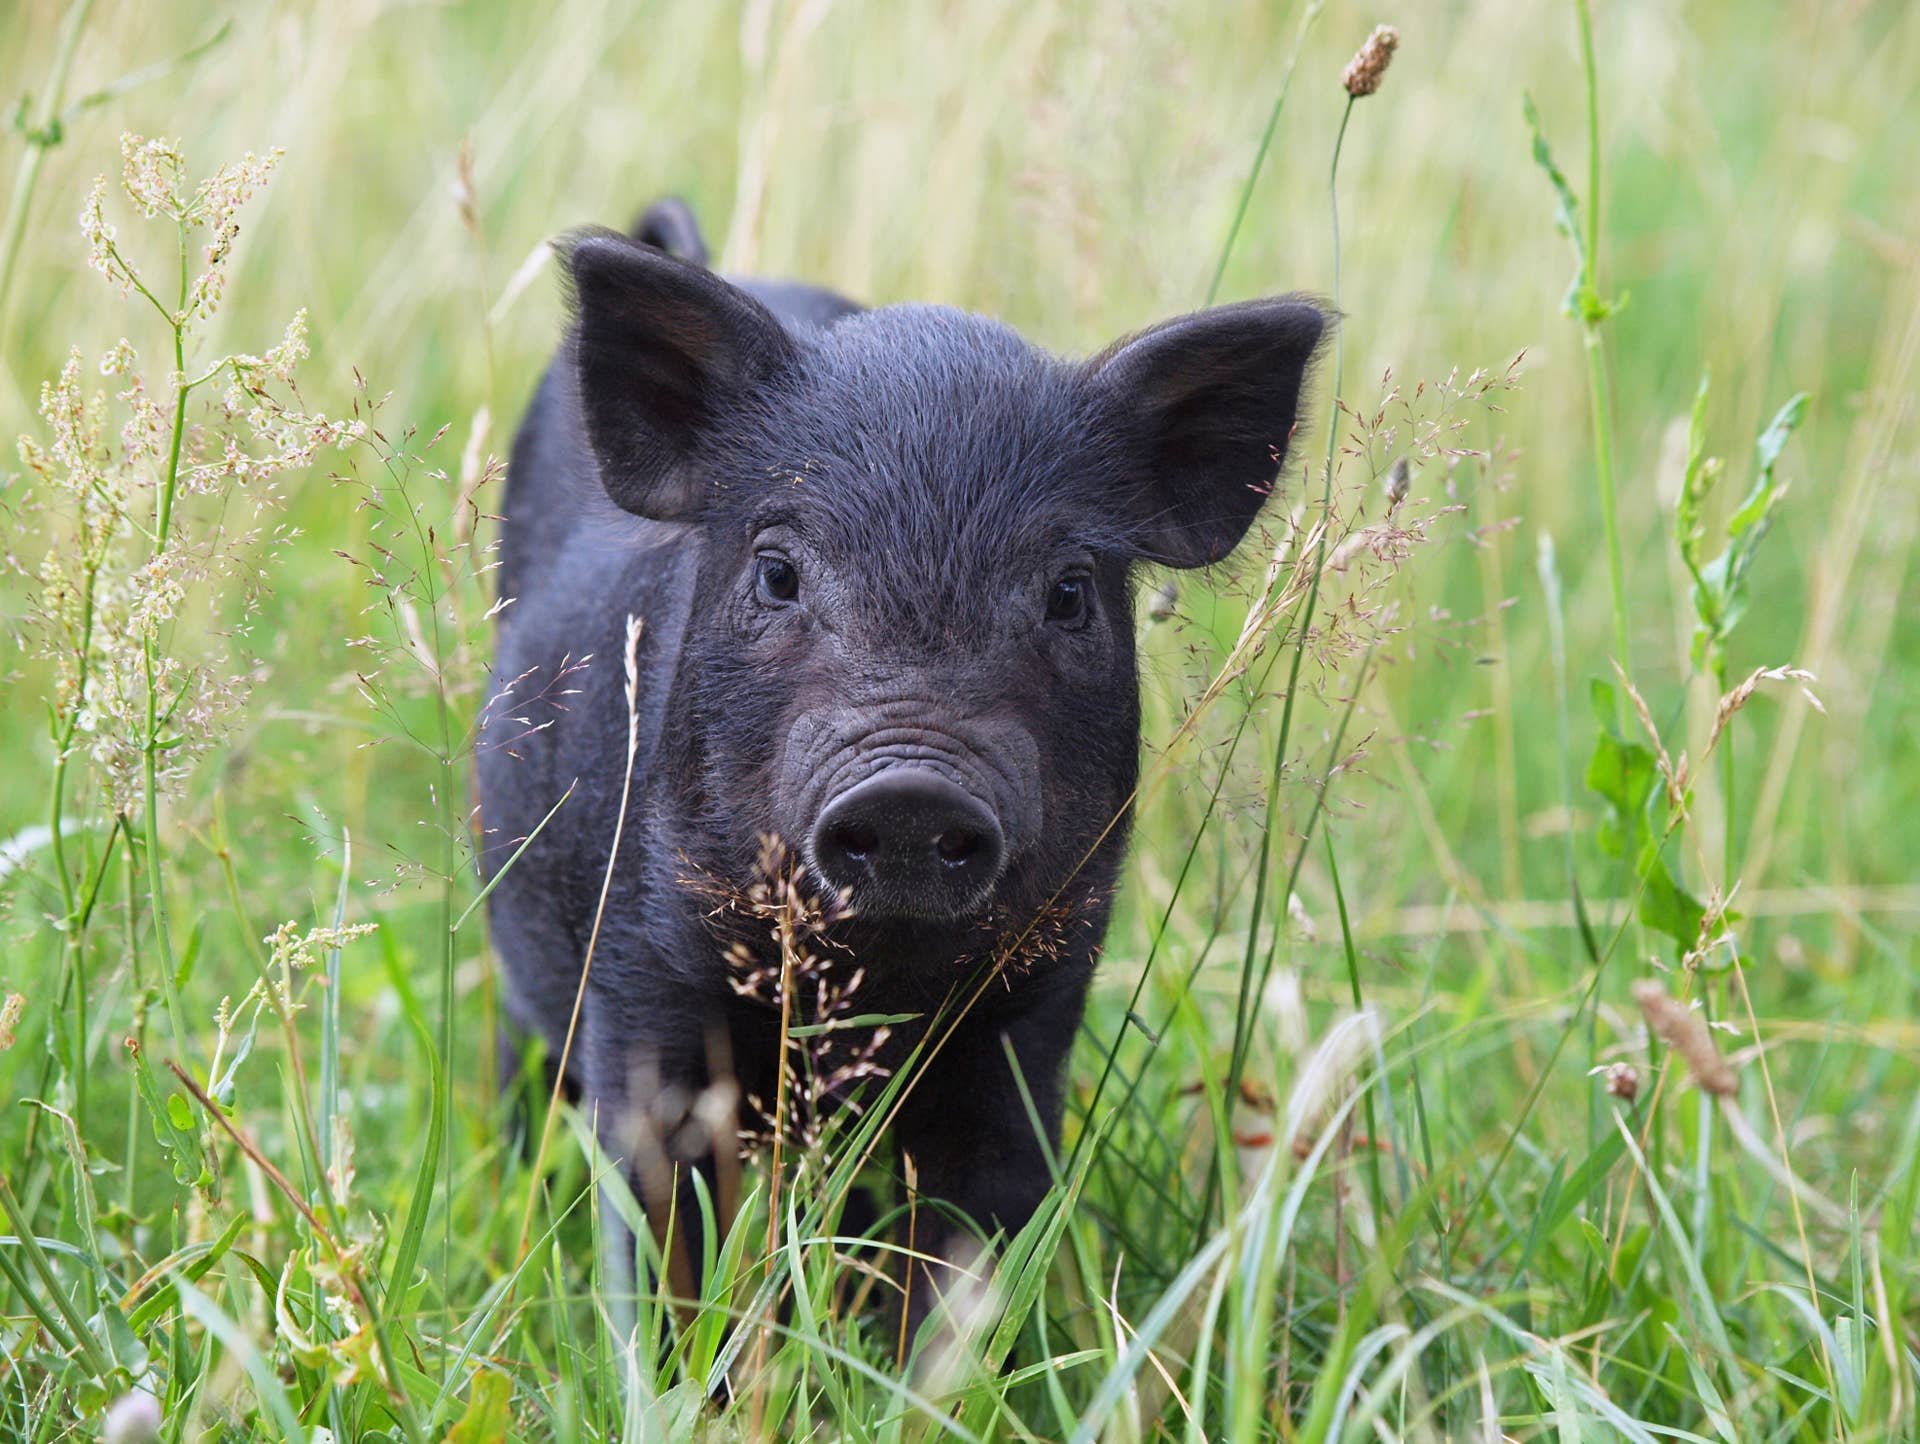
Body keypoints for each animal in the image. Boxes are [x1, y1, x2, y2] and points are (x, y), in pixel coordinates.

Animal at [477, 196, 1324, 1335]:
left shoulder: (1034, 1004)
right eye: (778, 572)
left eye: (1068, 590)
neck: (869, 985)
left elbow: (968, 1245)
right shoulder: (640, 975)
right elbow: (666, 1231)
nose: (912, 785)